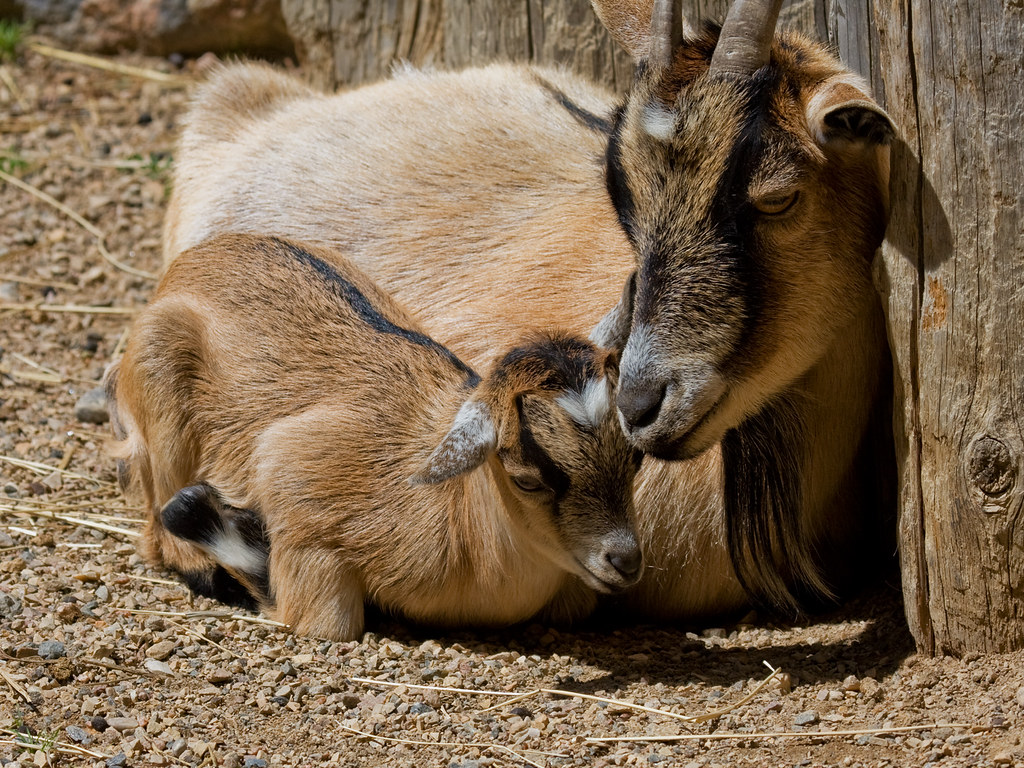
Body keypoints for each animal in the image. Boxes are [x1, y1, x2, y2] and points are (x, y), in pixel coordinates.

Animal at [107, 233, 642, 640]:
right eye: (527, 478)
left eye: (635, 459)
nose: (626, 560)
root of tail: (196, 259)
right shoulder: (293, 486)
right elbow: (322, 622)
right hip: (160, 393)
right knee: (159, 531)